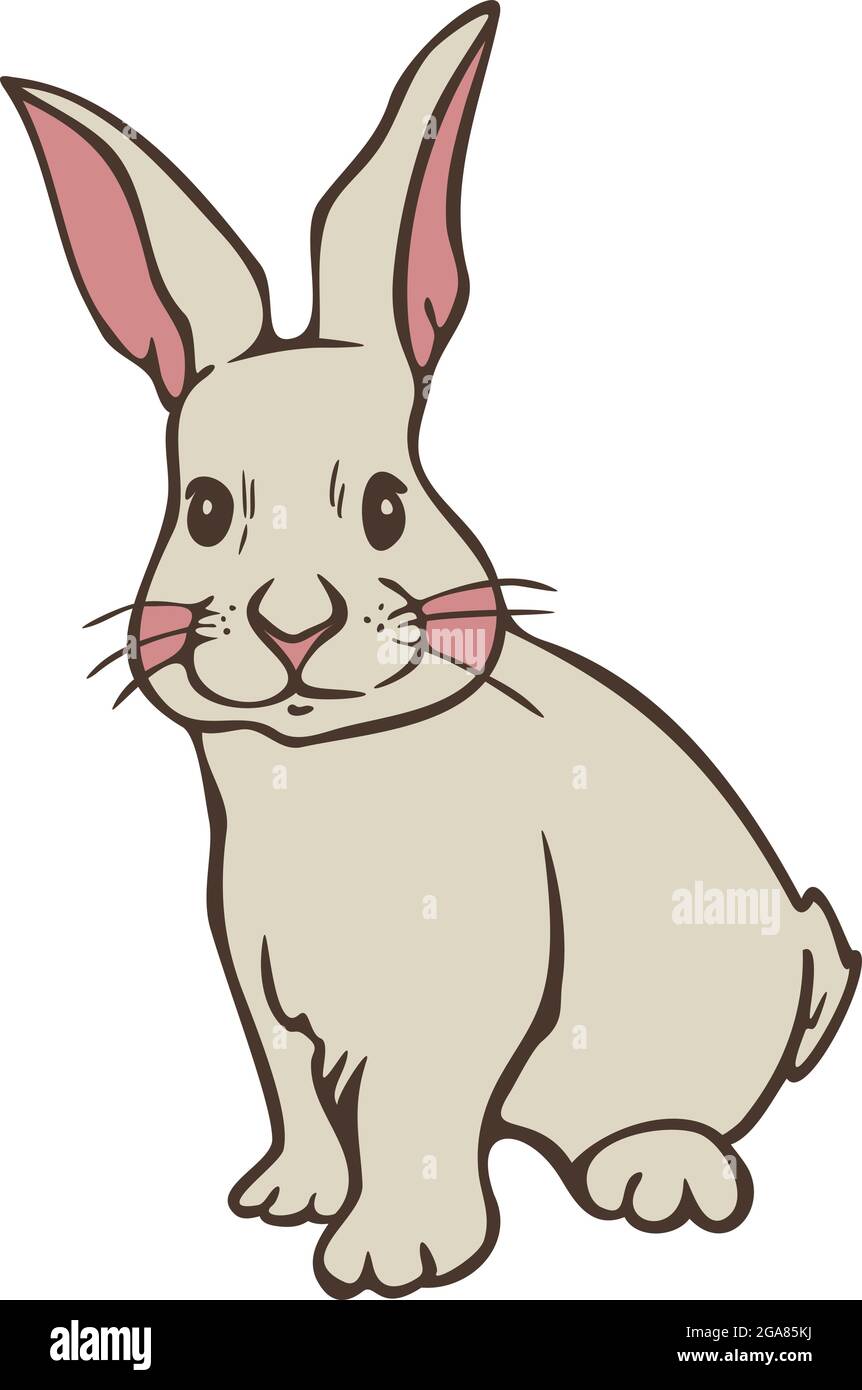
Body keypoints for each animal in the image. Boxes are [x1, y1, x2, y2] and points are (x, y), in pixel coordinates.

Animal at [4, 0, 858, 1300]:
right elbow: (301, 1101)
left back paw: (657, 1175)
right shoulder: (266, 995)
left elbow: (416, 1115)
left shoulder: (455, 996)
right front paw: (285, 1200)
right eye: (203, 510)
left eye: (386, 508)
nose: (292, 620)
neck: (329, 776)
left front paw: (387, 1258)